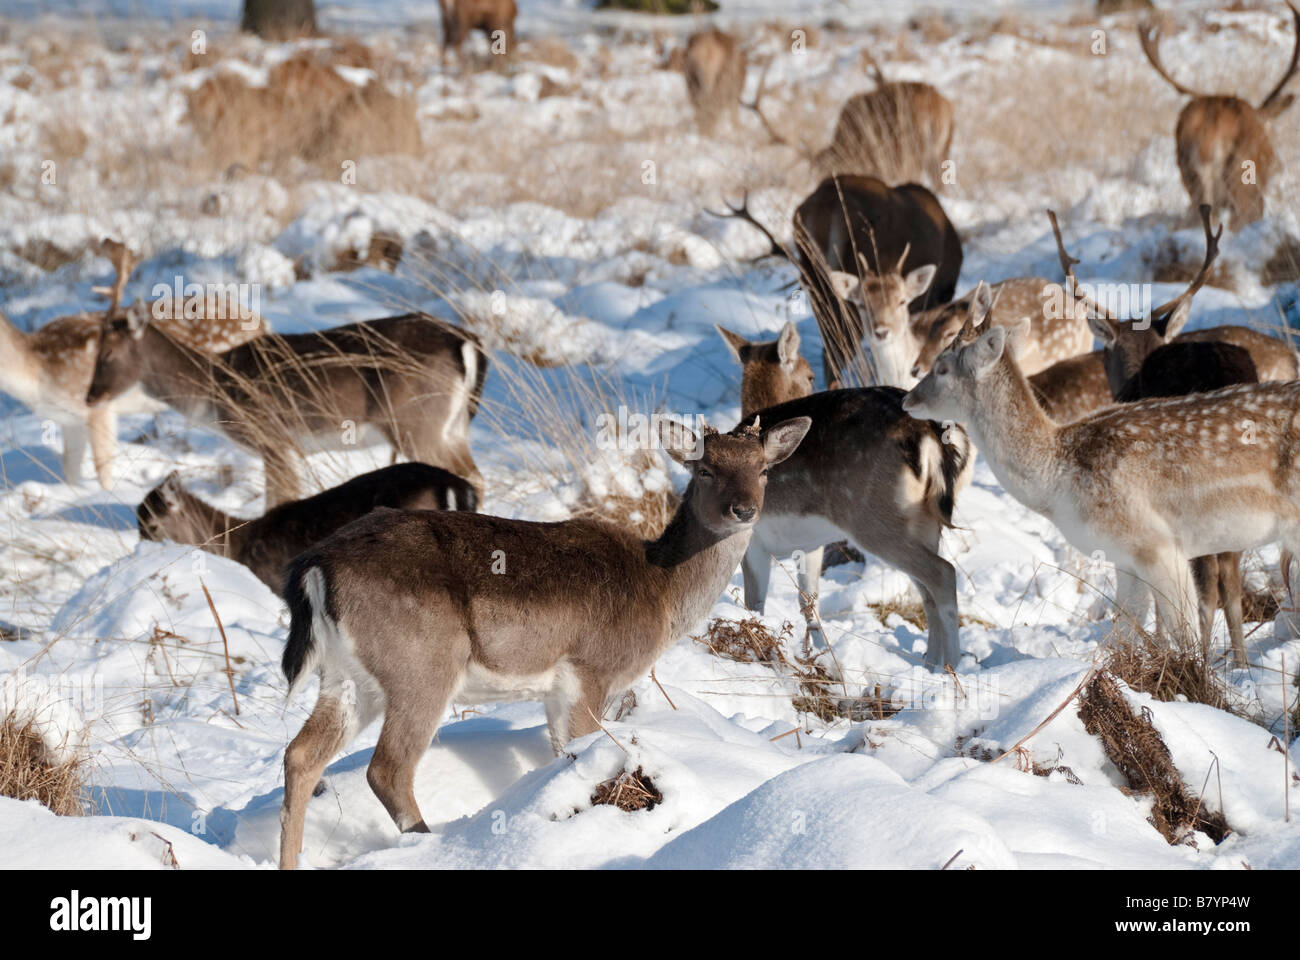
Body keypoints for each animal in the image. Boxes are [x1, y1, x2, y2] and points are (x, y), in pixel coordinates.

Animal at [0, 239, 267, 489]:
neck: (37, 369)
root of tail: (263, 323)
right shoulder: (69, 420)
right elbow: (70, 473)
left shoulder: (100, 408)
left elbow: (103, 469)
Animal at [86, 307, 487, 507]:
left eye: (108, 354)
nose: (90, 396)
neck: (216, 389)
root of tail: (468, 343)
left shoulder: (273, 436)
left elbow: (279, 499)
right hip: (453, 427)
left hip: (416, 422)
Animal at [276, 415, 812, 869]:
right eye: (704, 468)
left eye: (764, 469)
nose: (744, 509)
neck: (660, 594)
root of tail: (315, 566)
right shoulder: (592, 669)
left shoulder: (557, 691)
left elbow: (562, 759)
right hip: (422, 665)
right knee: (387, 769)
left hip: (348, 676)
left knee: (300, 756)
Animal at [902, 283, 1300, 660]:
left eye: (942, 367)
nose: (908, 398)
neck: (1057, 480)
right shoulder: (1124, 557)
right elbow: (1123, 628)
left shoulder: (1155, 542)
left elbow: (1182, 628)